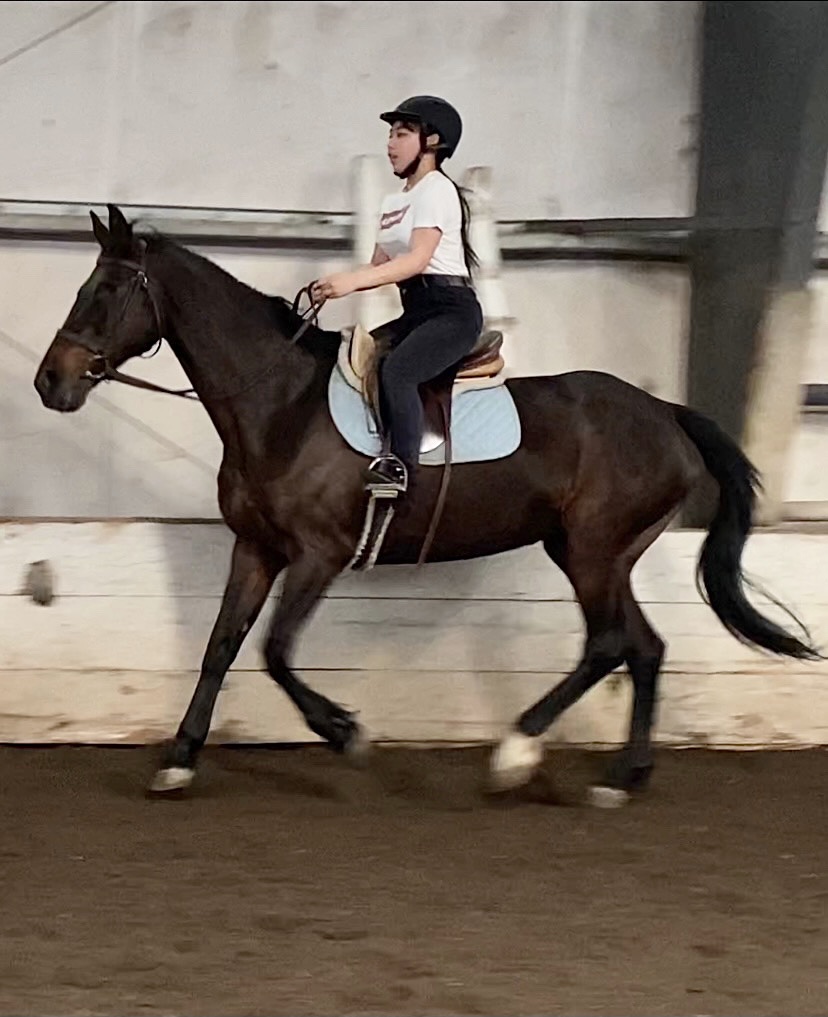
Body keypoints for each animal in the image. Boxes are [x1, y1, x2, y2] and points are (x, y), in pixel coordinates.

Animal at [33, 204, 820, 802]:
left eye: (106, 291)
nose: (49, 382)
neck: (279, 402)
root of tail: (665, 411)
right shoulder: (255, 547)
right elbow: (222, 646)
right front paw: (179, 759)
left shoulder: (318, 554)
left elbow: (276, 650)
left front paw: (347, 732)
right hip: (592, 551)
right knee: (643, 647)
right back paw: (623, 777)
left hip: (595, 550)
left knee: (605, 644)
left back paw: (515, 753)